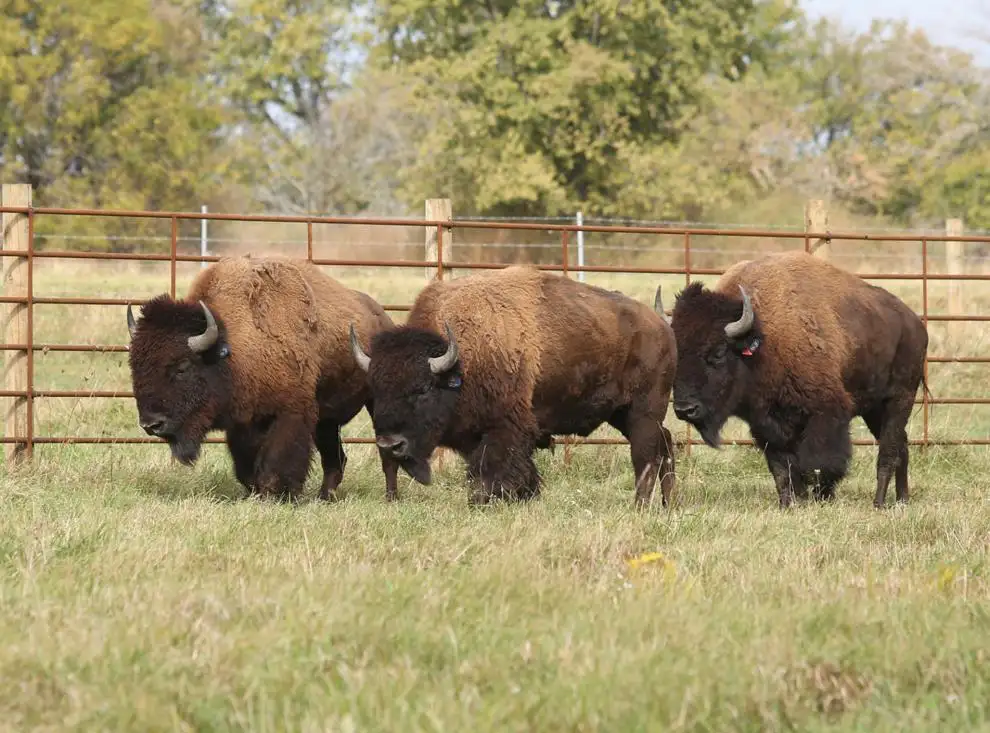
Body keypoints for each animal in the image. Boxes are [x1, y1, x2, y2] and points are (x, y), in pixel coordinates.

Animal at [126, 256, 399, 501]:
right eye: (135, 366)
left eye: (182, 367)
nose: (151, 424)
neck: (234, 345)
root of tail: (383, 318)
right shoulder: (244, 423)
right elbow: (246, 468)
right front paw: (257, 493)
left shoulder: (290, 414)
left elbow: (276, 463)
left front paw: (277, 495)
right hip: (327, 421)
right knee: (335, 459)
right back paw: (324, 497)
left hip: (374, 403)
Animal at [348, 265, 678, 508]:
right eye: (376, 391)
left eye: (422, 389)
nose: (390, 445)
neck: (462, 360)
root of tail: (662, 326)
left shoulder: (505, 430)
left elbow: (492, 471)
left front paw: (488, 502)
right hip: (621, 413)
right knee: (666, 442)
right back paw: (669, 503)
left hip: (643, 412)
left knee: (645, 454)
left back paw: (640, 505)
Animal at [664, 250, 928, 508]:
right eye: (676, 354)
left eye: (718, 352)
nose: (685, 409)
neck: (764, 339)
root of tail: (915, 324)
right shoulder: (766, 424)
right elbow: (782, 468)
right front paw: (789, 503)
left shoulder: (826, 414)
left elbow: (819, 463)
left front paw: (820, 498)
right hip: (874, 409)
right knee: (901, 446)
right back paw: (902, 501)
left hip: (899, 399)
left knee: (889, 450)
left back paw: (879, 503)